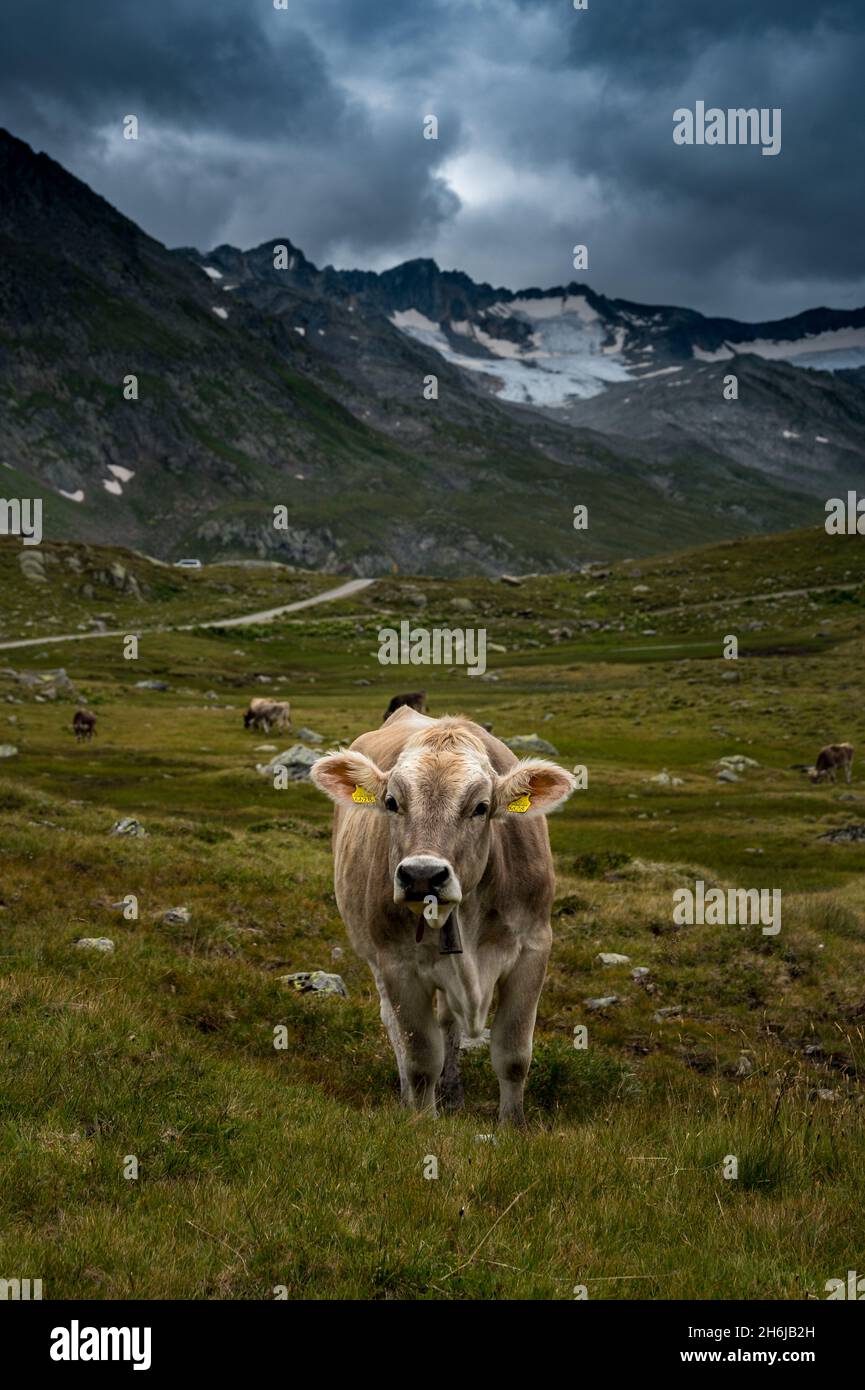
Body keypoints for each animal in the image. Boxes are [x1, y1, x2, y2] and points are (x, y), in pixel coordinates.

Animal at [310, 707, 577, 1125]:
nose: (422, 875)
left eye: (481, 807)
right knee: (395, 1027)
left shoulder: (533, 949)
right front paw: (422, 1121)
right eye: (392, 802)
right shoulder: (397, 962)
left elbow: (513, 1054)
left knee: (449, 1022)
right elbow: (421, 1057)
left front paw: (512, 1126)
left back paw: (452, 1095)